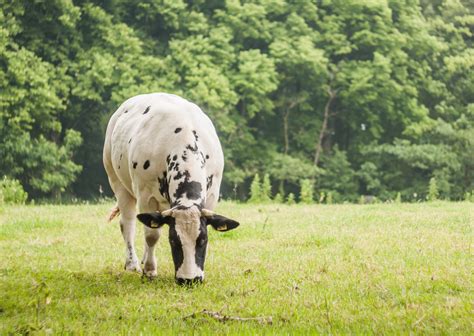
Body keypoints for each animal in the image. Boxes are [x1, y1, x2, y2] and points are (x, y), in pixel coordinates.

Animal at [102, 92, 239, 286]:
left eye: (203, 240)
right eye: (173, 240)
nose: (189, 280)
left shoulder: (212, 196)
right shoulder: (146, 195)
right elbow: (152, 234)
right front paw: (150, 271)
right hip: (117, 180)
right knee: (128, 222)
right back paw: (132, 263)